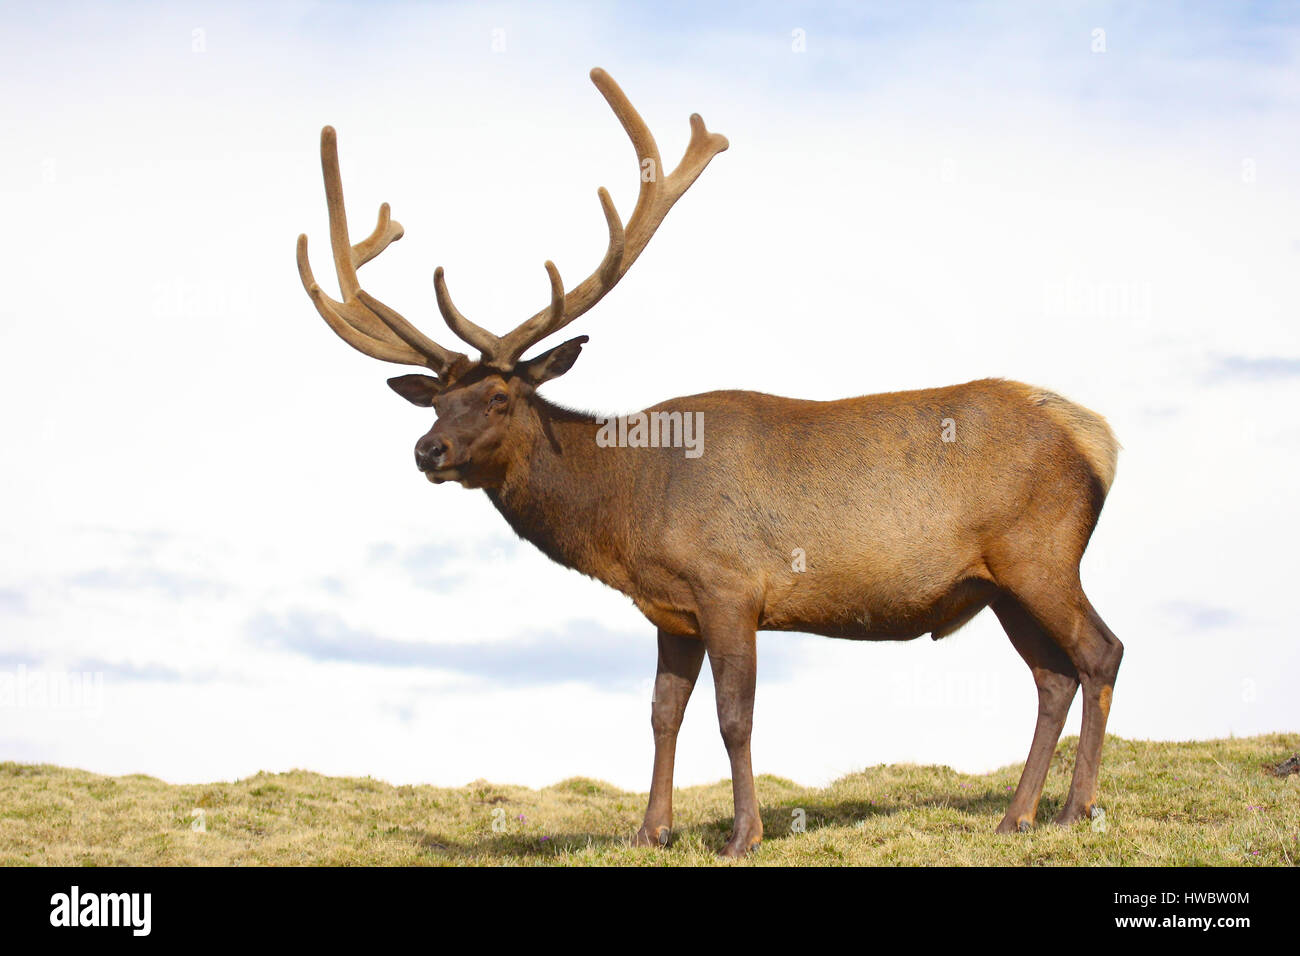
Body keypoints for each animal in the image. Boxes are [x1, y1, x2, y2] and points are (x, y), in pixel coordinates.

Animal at [296, 68, 1123, 858]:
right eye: (434, 401)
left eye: (500, 396)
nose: (426, 450)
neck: (627, 513)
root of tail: (1097, 438)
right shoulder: (672, 610)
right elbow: (662, 713)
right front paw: (649, 831)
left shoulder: (729, 584)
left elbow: (733, 716)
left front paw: (742, 834)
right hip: (998, 582)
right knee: (1052, 676)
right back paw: (1015, 816)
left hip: (1041, 552)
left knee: (1099, 653)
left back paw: (1074, 810)